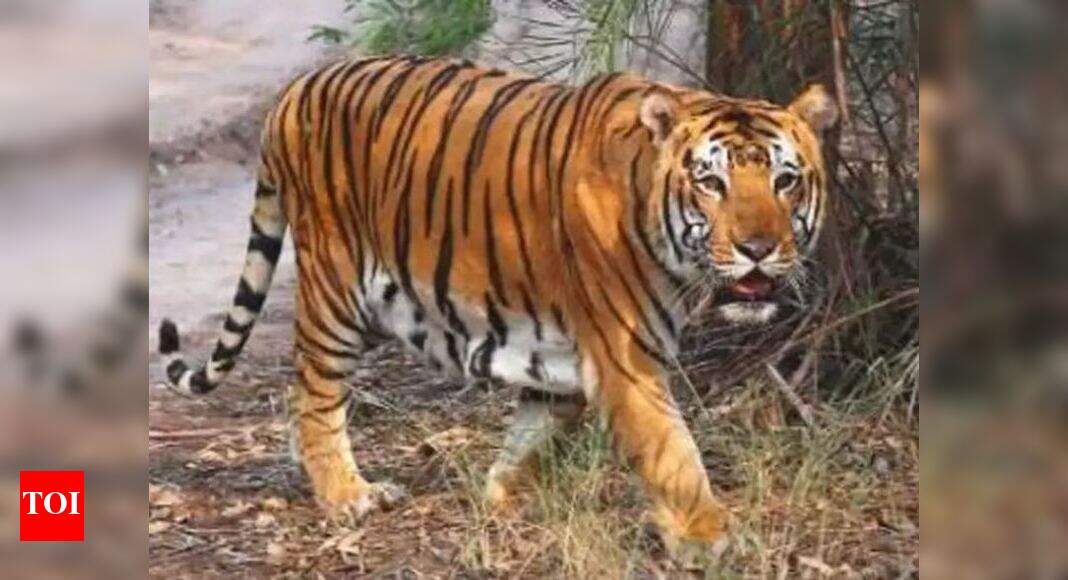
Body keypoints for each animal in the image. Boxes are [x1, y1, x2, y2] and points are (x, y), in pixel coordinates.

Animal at [157, 55, 837, 557]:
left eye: (785, 180)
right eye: (711, 183)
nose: (758, 249)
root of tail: (296, 89)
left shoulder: (563, 356)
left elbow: (536, 431)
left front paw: (504, 494)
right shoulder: (626, 357)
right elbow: (673, 452)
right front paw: (709, 537)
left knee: (300, 389)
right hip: (337, 289)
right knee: (316, 388)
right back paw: (347, 493)